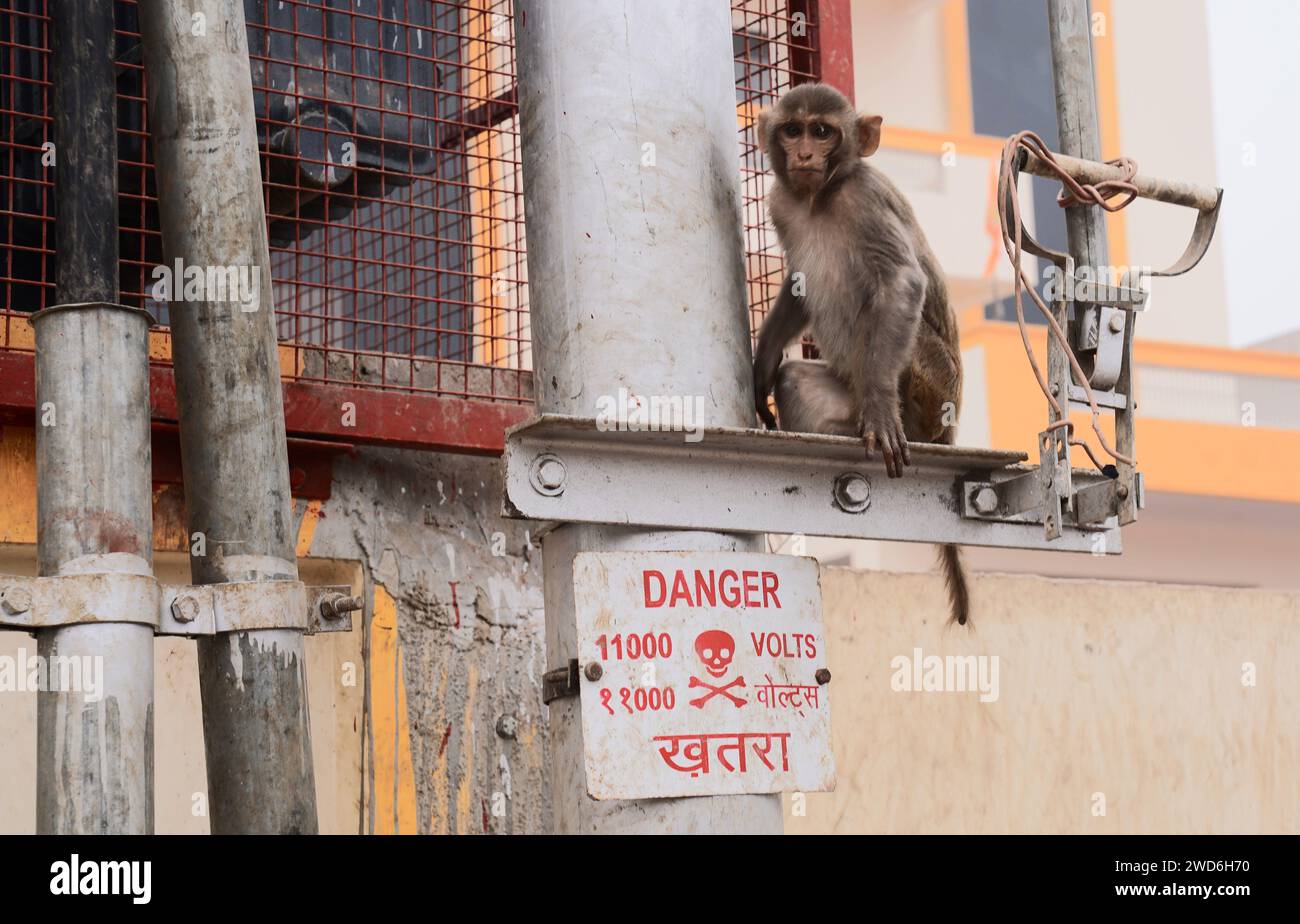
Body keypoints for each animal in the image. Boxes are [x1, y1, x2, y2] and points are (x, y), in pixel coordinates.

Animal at [751, 83, 970, 626]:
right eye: (794, 129)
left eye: (823, 131)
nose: (805, 155)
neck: (820, 198)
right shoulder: (781, 202)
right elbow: (799, 285)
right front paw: (764, 361)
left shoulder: (864, 198)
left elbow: (902, 284)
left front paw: (879, 406)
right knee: (799, 381)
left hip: (935, 392)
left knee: (887, 310)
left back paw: (885, 412)